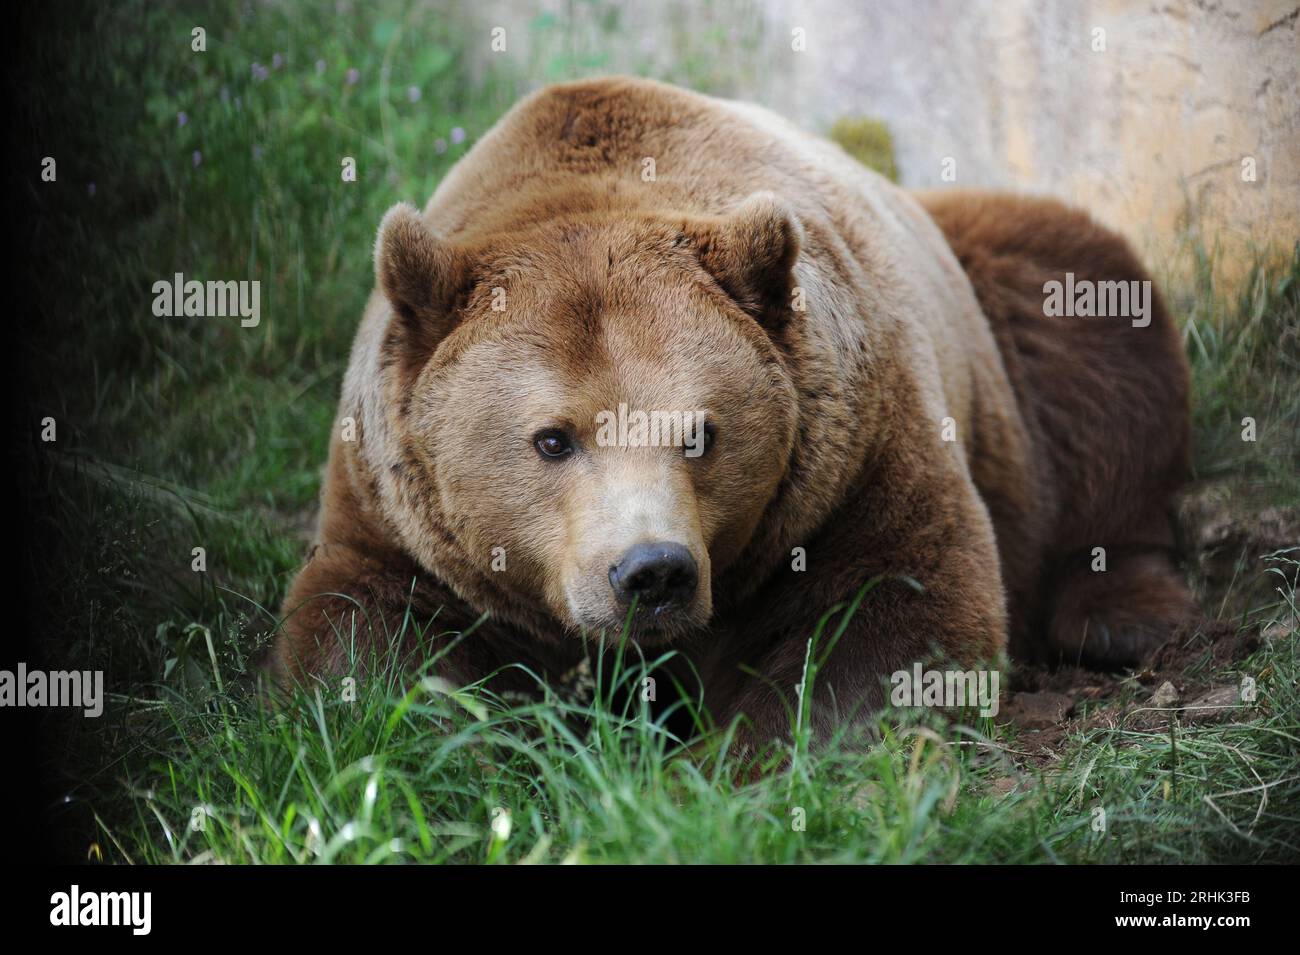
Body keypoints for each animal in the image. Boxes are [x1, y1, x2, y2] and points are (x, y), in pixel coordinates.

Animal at [272, 76, 1194, 747]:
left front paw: (730, 769)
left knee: (1094, 326)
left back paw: (1121, 616)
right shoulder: (396, 512)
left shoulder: (850, 467)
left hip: (1012, 318)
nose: (652, 572)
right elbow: (371, 637)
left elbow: (883, 624)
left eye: (701, 431)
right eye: (552, 439)